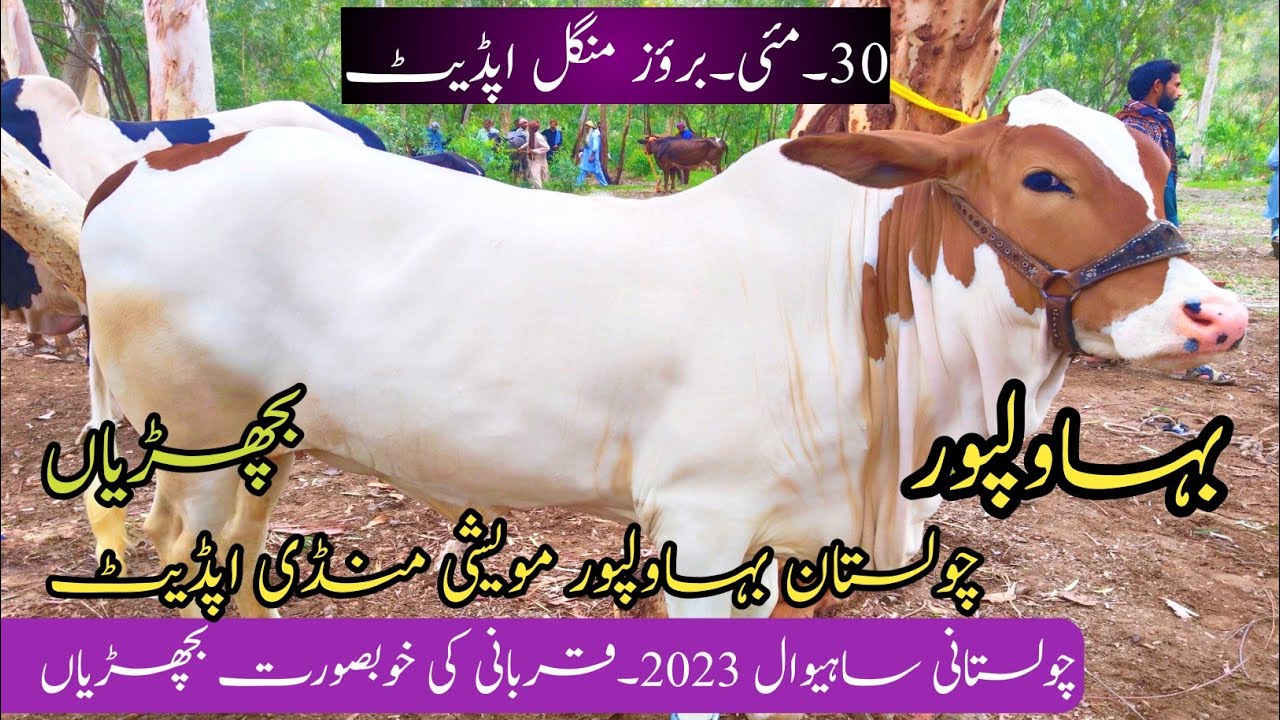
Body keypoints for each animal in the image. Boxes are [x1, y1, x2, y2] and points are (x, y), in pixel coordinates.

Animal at [75, 90, 1247, 720]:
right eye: (1043, 179)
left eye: (1155, 162)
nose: (1217, 315)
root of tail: (151, 162)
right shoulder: (703, 519)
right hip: (195, 436)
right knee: (183, 555)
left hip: (258, 443)